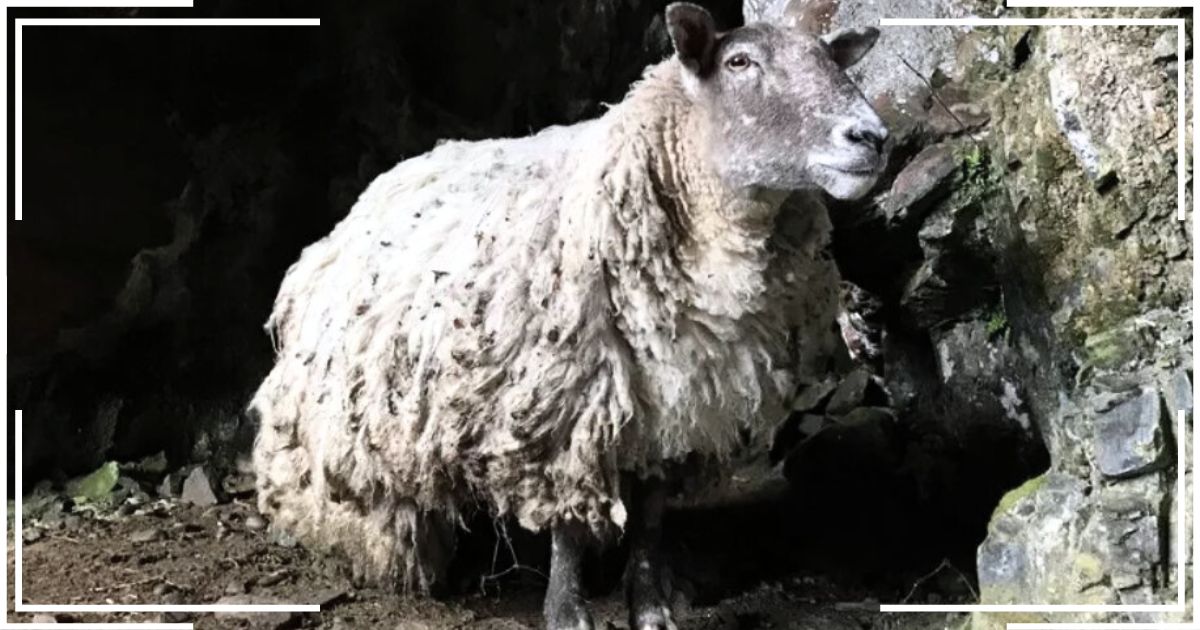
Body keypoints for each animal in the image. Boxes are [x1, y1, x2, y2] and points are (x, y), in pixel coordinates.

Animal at [249, 4, 888, 629]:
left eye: (832, 60)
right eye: (740, 61)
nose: (873, 136)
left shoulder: (677, 402)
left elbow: (651, 515)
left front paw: (651, 609)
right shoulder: (563, 403)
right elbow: (569, 528)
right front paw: (568, 612)